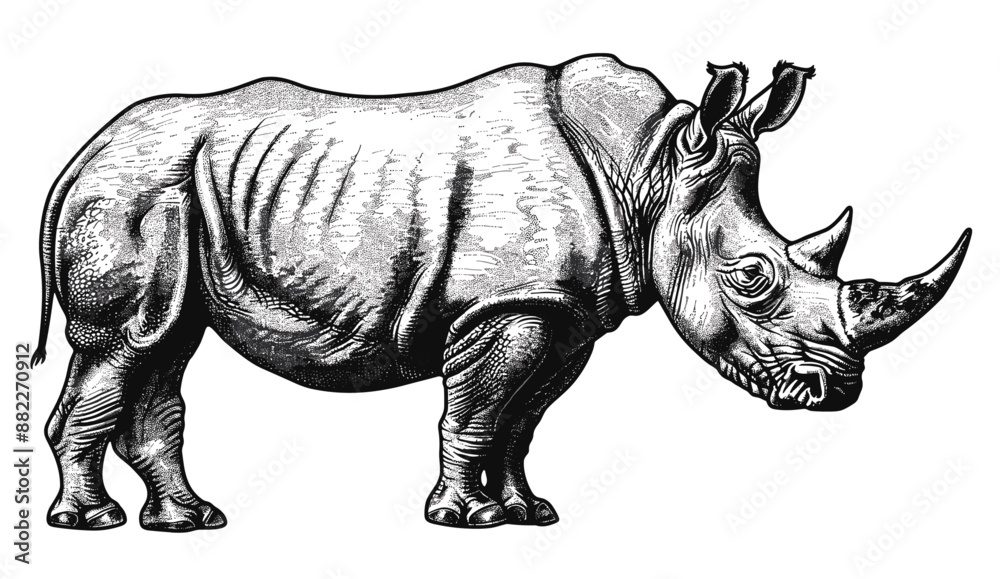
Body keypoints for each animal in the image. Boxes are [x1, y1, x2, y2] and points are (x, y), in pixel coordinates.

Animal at [31, 54, 969, 531]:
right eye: (753, 277)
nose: (836, 392)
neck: (649, 169)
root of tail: (82, 150)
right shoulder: (506, 305)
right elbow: (477, 411)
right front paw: (461, 519)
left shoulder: (564, 314)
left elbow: (521, 419)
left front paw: (526, 511)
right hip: (134, 187)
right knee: (121, 344)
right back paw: (91, 524)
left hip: (171, 187)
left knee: (164, 345)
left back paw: (189, 522)